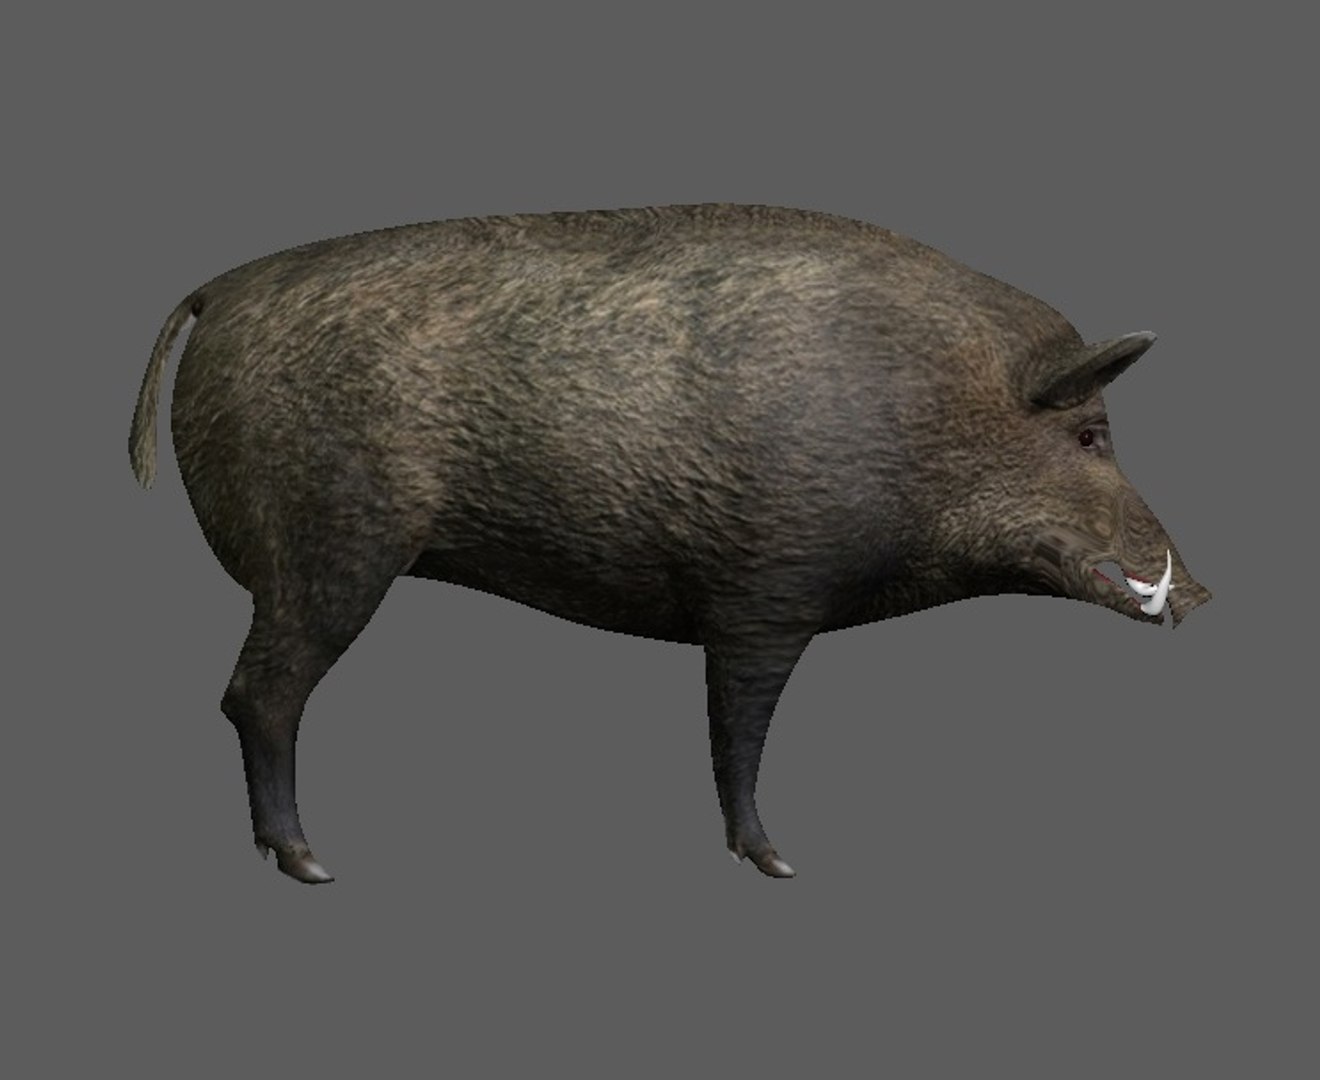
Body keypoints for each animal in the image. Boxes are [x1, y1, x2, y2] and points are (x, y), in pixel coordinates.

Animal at [129, 204, 1211, 884]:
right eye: (1092, 436)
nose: (1206, 593)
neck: (933, 410)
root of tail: (218, 287)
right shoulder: (764, 594)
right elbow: (739, 732)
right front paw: (778, 863)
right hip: (328, 551)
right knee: (255, 696)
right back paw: (312, 866)